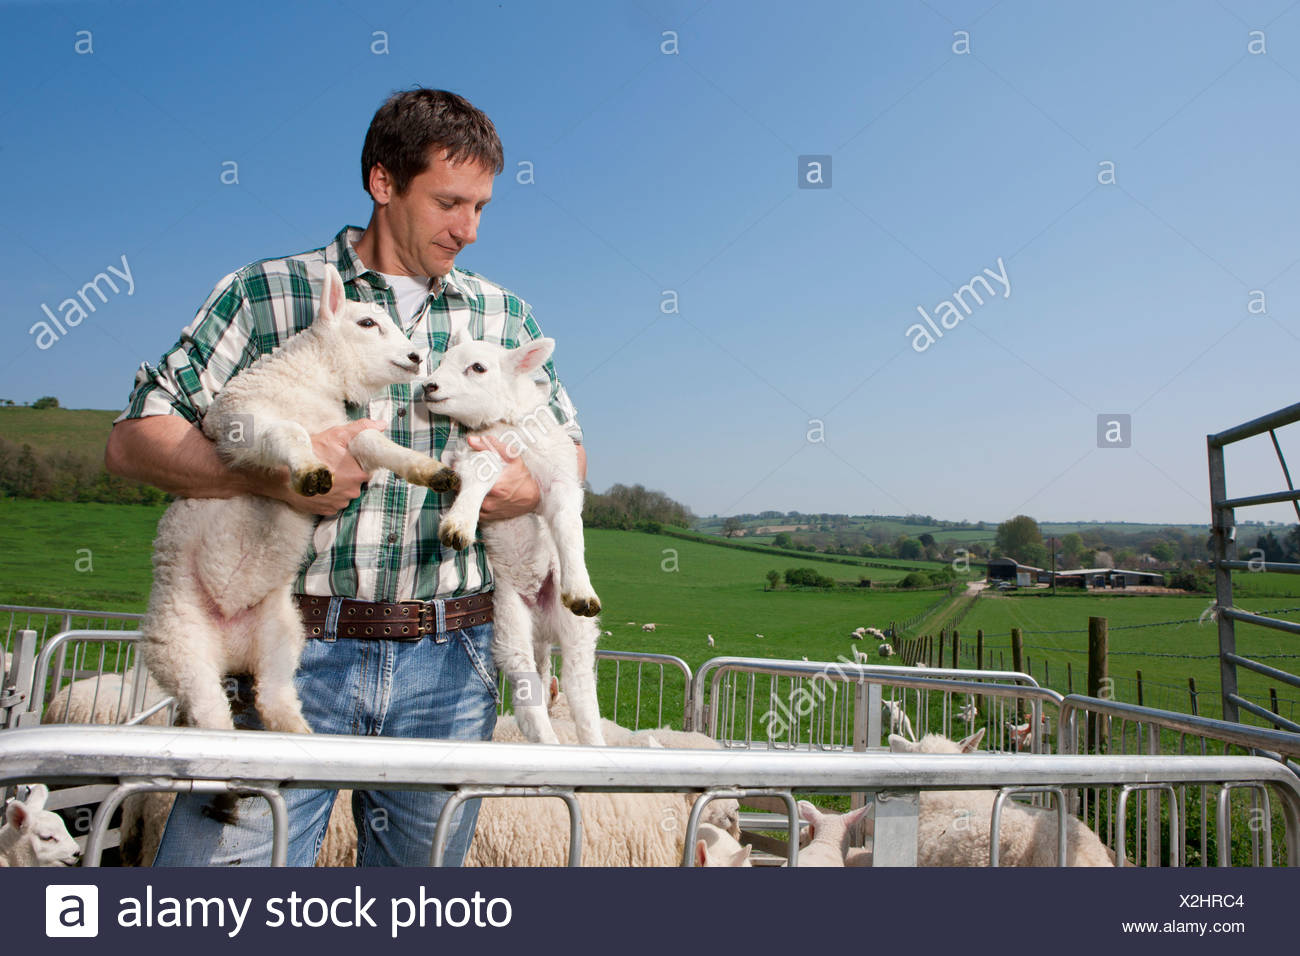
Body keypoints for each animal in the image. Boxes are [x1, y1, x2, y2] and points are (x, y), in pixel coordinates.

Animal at [141, 263, 442, 748]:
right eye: (367, 323)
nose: (416, 358)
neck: (308, 380)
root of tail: (230, 647)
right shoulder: (245, 421)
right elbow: (290, 434)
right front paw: (311, 472)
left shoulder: (347, 437)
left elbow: (380, 446)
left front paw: (432, 471)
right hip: (179, 644)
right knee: (210, 710)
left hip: (281, 635)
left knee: (274, 697)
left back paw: (300, 733)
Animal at [422, 335, 603, 749]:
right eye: (443, 360)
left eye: (478, 367)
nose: (428, 386)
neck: (510, 424)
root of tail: (542, 625)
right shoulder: (477, 451)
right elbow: (479, 475)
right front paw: (459, 523)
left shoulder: (559, 477)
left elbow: (569, 527)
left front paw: (581, 586)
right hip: (507, 618)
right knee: (529, 695)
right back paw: (550, 745)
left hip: (573, 628)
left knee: (580, 684)